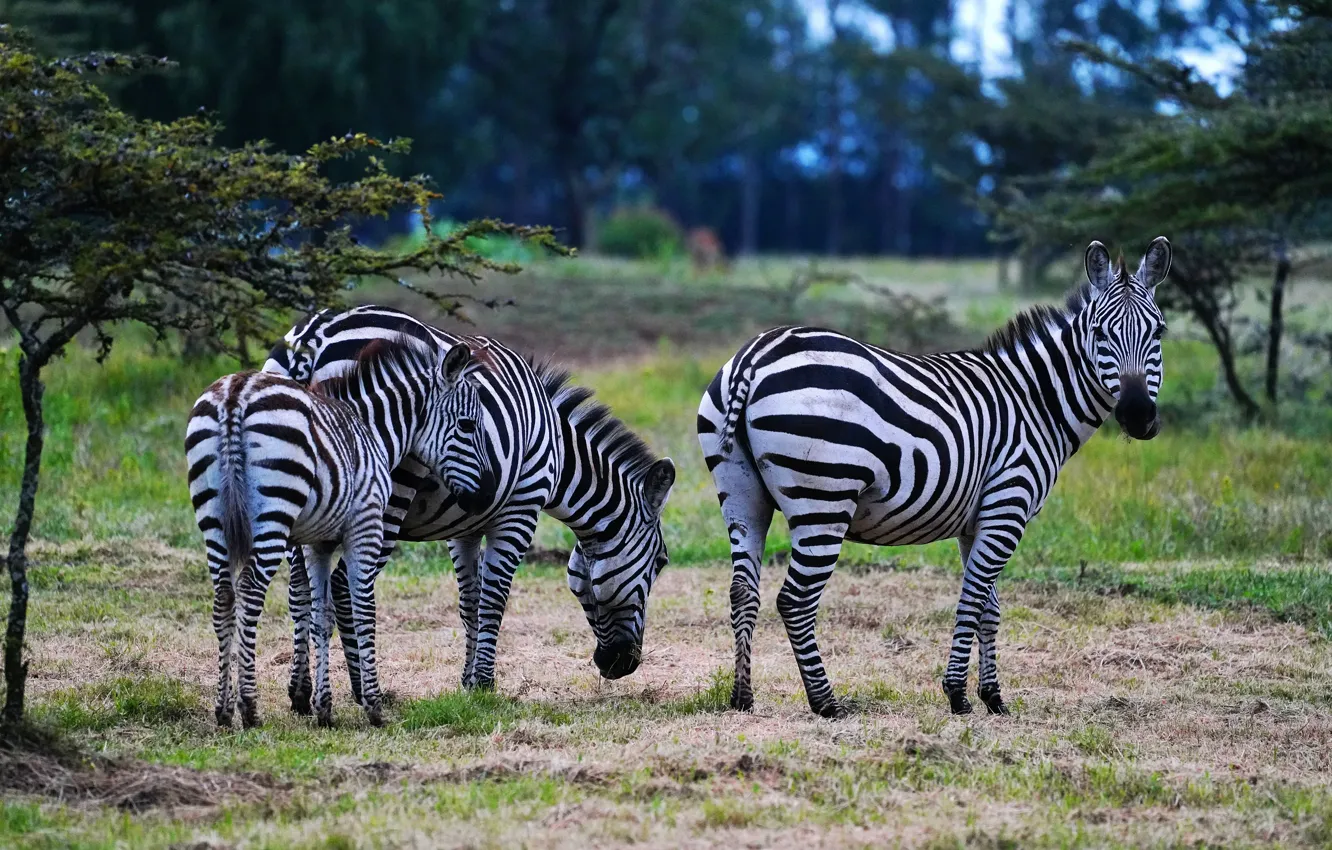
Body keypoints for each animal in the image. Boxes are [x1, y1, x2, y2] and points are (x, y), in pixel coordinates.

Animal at [186, 336, 488, 728]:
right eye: (467, 425)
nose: (482, 498)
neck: (374, 431)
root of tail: (237, 391)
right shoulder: (366, 525)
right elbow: (364, 610)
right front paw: (373, 704)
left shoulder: (318, 542)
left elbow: (321, 615)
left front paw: (324, 708)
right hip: (274, 511)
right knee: (250, 591)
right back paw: (249, 708)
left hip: (213, 516)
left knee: (224, 595)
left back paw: (223, 710)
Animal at [261, 304, 676, 706]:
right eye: (661, 563)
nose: (620, 665)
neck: (559, 450)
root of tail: (314, 337)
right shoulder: (521, 511)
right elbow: (494, 599)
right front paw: (485, 685)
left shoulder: (463, 528)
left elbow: (470, 602)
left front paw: (467, 680)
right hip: (381, 494)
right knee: (345, 588)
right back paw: (363, 691)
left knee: (300, 591)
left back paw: (301, 692)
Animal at [696, 237, 1172, 718]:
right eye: (1100, 333)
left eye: (1160, 333)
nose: (1139, 416)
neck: (1037, 403)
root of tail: (755, 356)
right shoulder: (1008, 505)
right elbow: (973, 599)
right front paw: (958, 694)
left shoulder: (976, 521)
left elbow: (990, 609)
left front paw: (993, 696)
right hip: (824, 498)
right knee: (795, 600)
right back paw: (826, 702)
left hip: (741, 494)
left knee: (743, 591)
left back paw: (742, 696)